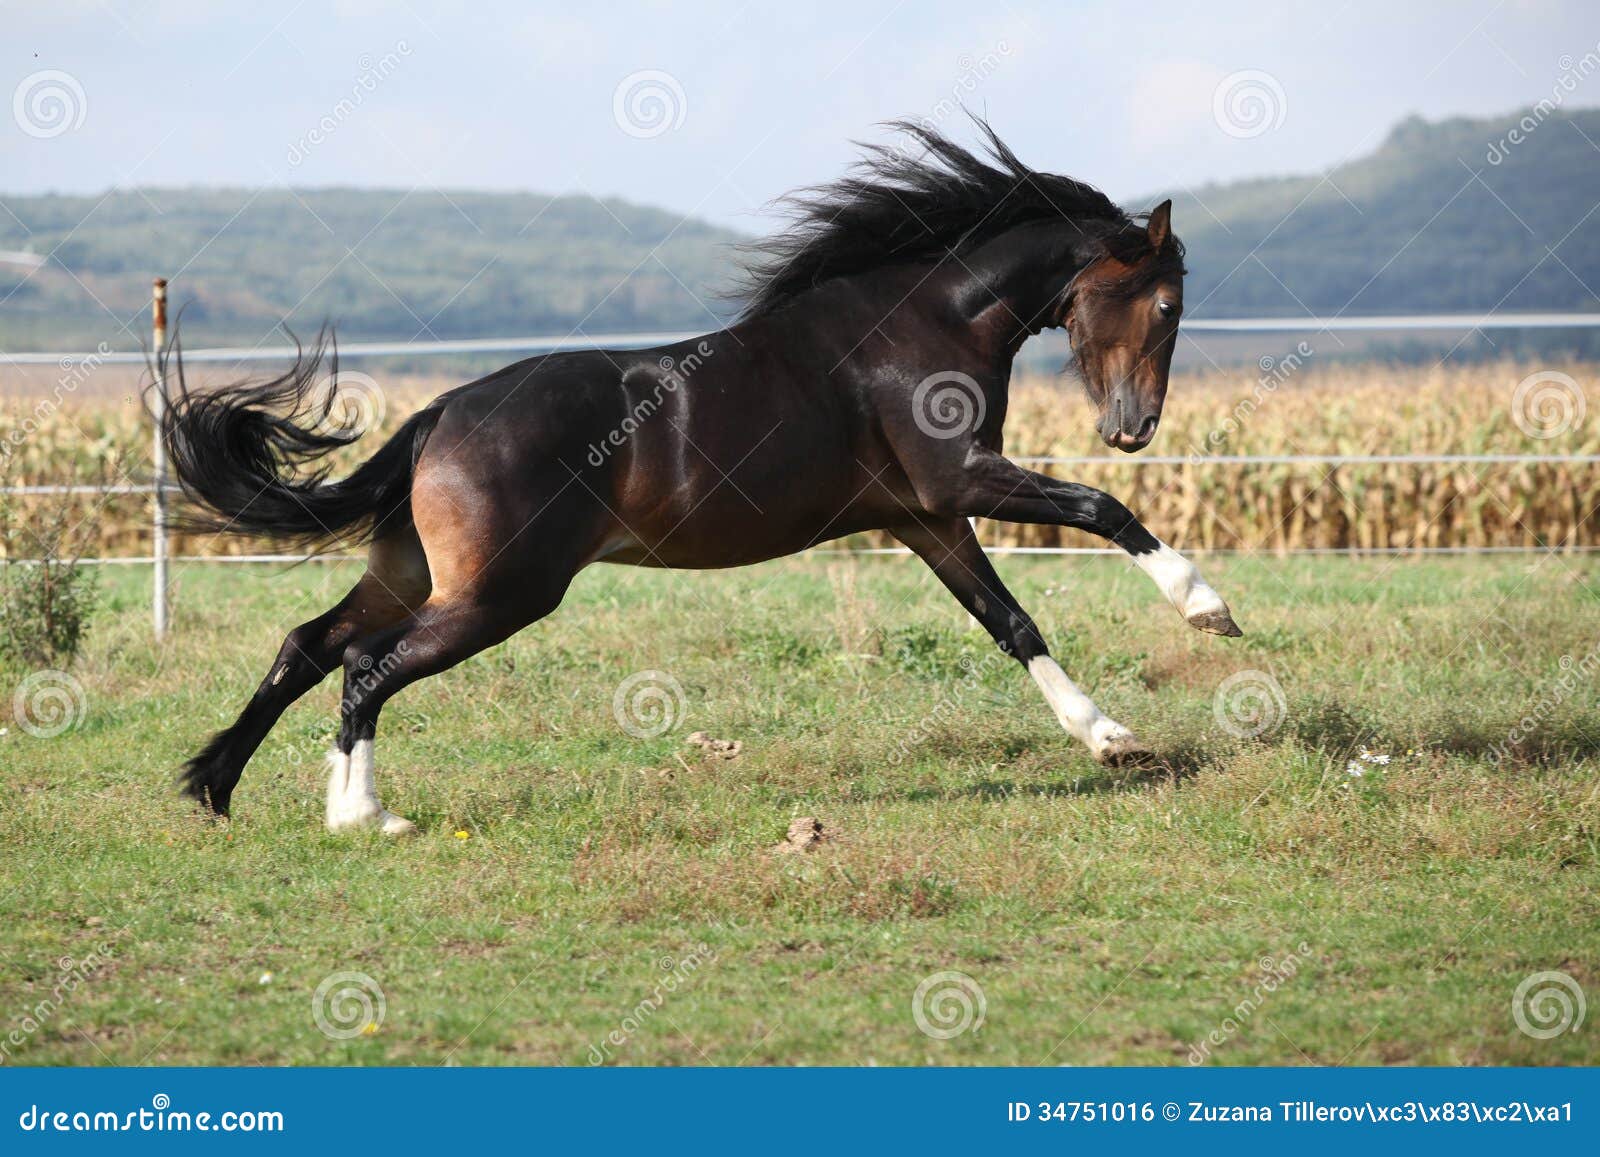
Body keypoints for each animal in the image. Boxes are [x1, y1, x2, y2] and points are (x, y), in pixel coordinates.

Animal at [156, 119, 1240, 834]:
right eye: (1167, 304)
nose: (1134, 426)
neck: (925, 323)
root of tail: (437, 419)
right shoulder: (961, 481)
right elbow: (1102, 507)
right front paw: (1207, 609)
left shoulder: (924, 516)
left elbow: (1012, 623)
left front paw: (1113, 740)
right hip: (500, 591)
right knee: (365, 664)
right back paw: (364, 815)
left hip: (415, 571)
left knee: (309, 645)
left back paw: (217, 787)